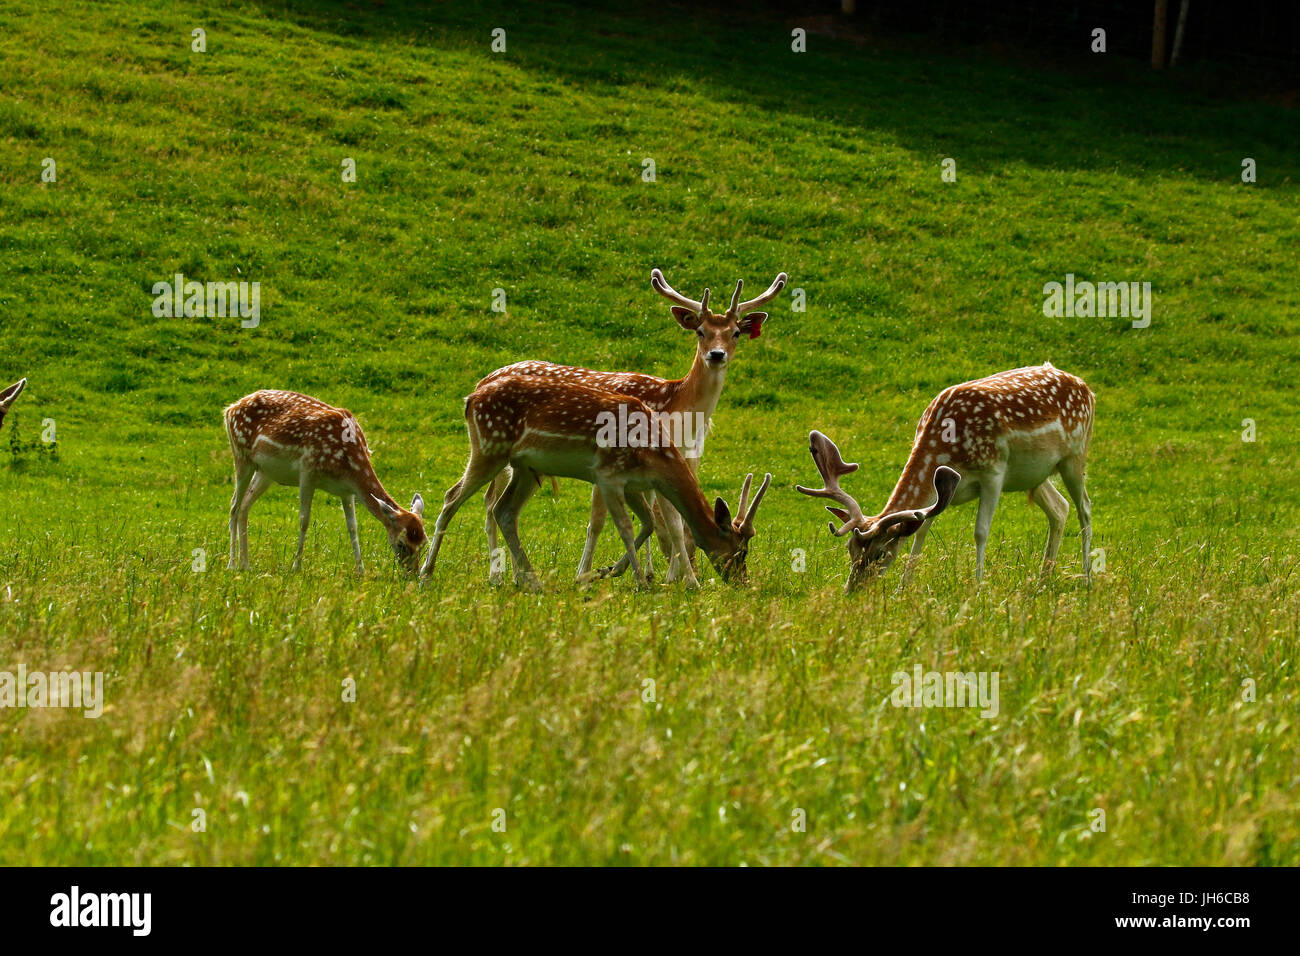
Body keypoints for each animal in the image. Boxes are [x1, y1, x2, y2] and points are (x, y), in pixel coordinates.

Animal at [223, 389, 426, 573]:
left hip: (265, 472)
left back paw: (245, 565)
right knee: (234, 506)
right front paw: (296, 567)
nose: (412, 574)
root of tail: (230, 409)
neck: (348, 462)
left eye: (424, 542)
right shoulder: (307, 470)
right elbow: (304, 520)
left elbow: (353, 527)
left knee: (245, 506)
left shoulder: (347, 491)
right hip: (241, 455)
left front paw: (360, 570)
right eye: (401, 543)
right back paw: (232, 564)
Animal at [420, 373, 772, 591]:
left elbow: (648, 523)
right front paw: (638, 582)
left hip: (525, 469)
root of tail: (470, 398)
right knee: (451, 498)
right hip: (489, 446)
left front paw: (609, 571)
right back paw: (426, 574)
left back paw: (532, 581)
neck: (654, 454)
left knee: (503, 511)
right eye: (740, 552)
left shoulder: (633, 484)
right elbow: (626, 527)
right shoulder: (608, 474)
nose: (743, 582)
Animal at [478, 267, 786, 587]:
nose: (716, 355)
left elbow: (672, 521)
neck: (676, 407)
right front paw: (587, 573)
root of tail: (485, 378)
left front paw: (673, 575)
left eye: (735, 332)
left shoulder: (681, 458)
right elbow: (602, 522)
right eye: (700, 331)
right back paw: (498, 575)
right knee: (489, 503)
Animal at [797, 363, 1094, 591]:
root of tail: (1087, 388)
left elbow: (980, 532)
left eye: (880, 553)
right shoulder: (943, 491)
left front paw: (977, 587)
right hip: (1033, 476)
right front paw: (903, 588)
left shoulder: (993, 472)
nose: (852, 589)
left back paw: (1087, 578)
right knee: (1059, 508)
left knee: (1085, 508)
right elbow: (921, 530)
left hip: (1075, 456)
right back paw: (1043, 580)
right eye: (850, 548)